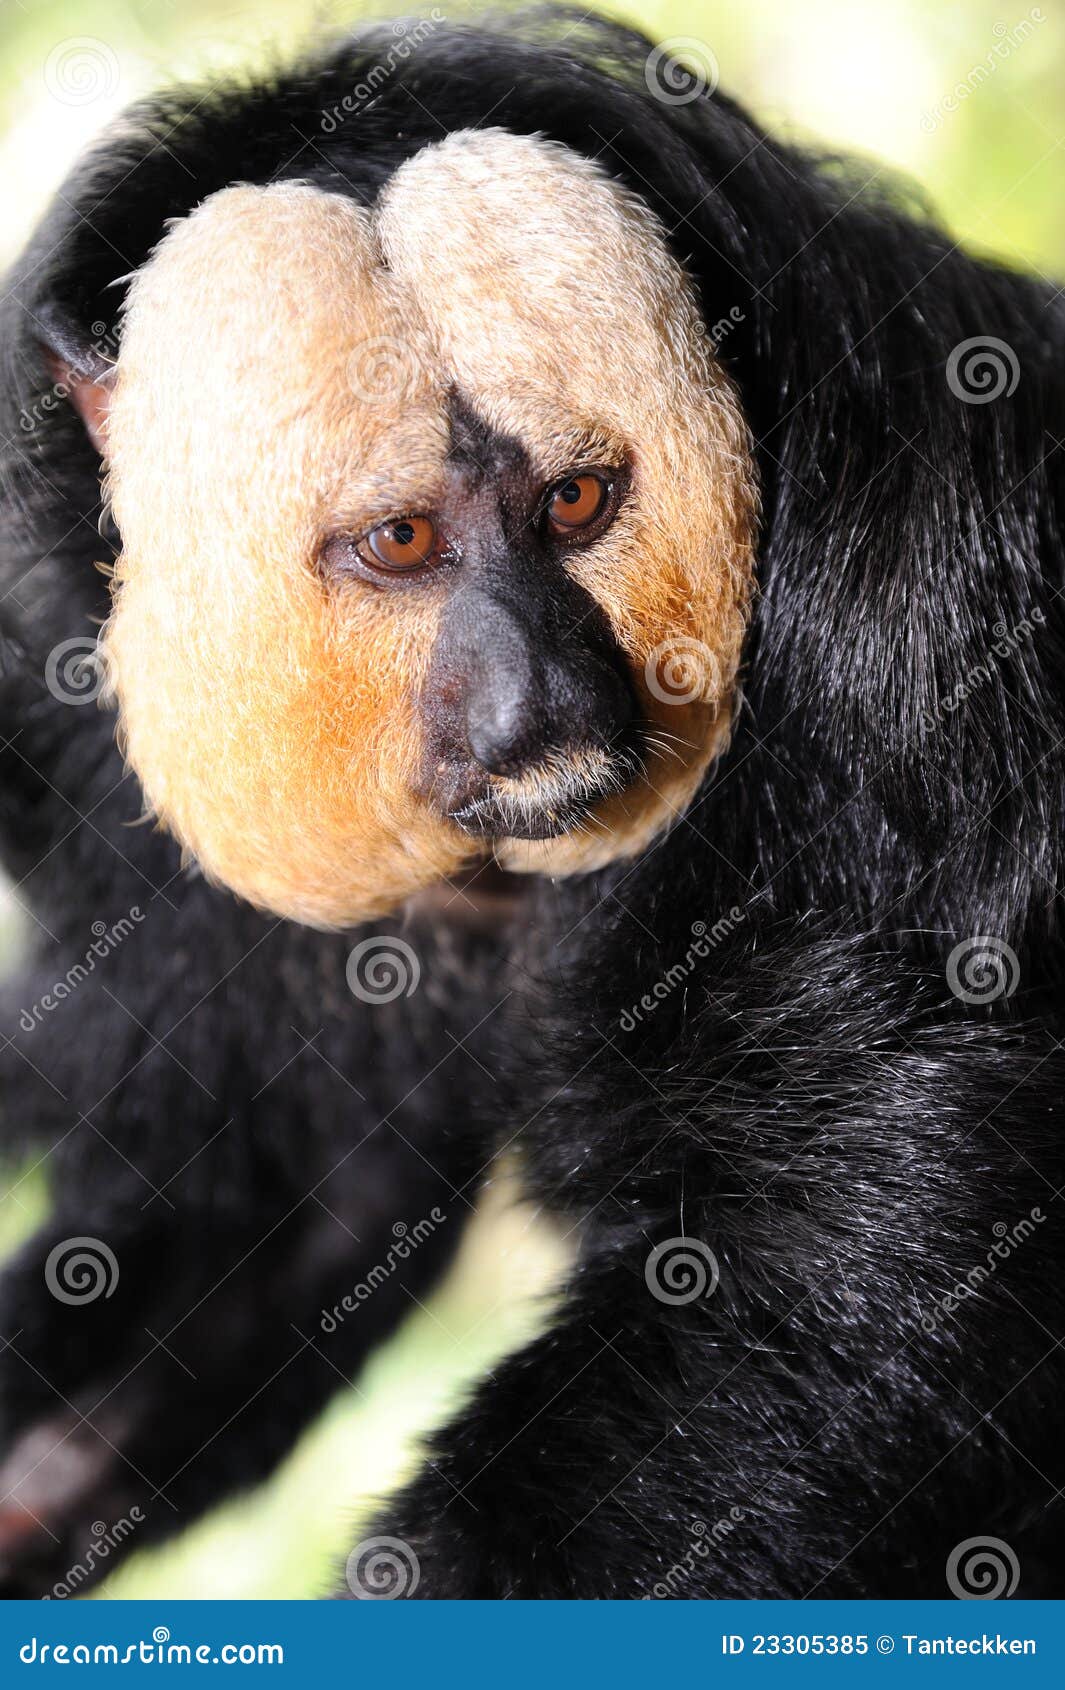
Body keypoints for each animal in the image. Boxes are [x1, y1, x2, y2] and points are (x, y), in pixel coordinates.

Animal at [0, 8, 1062, 1599]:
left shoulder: (913, 635)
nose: (538, 698)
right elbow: (271, 1207)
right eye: (402, 541)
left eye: (572, 503)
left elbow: (867, 1244)